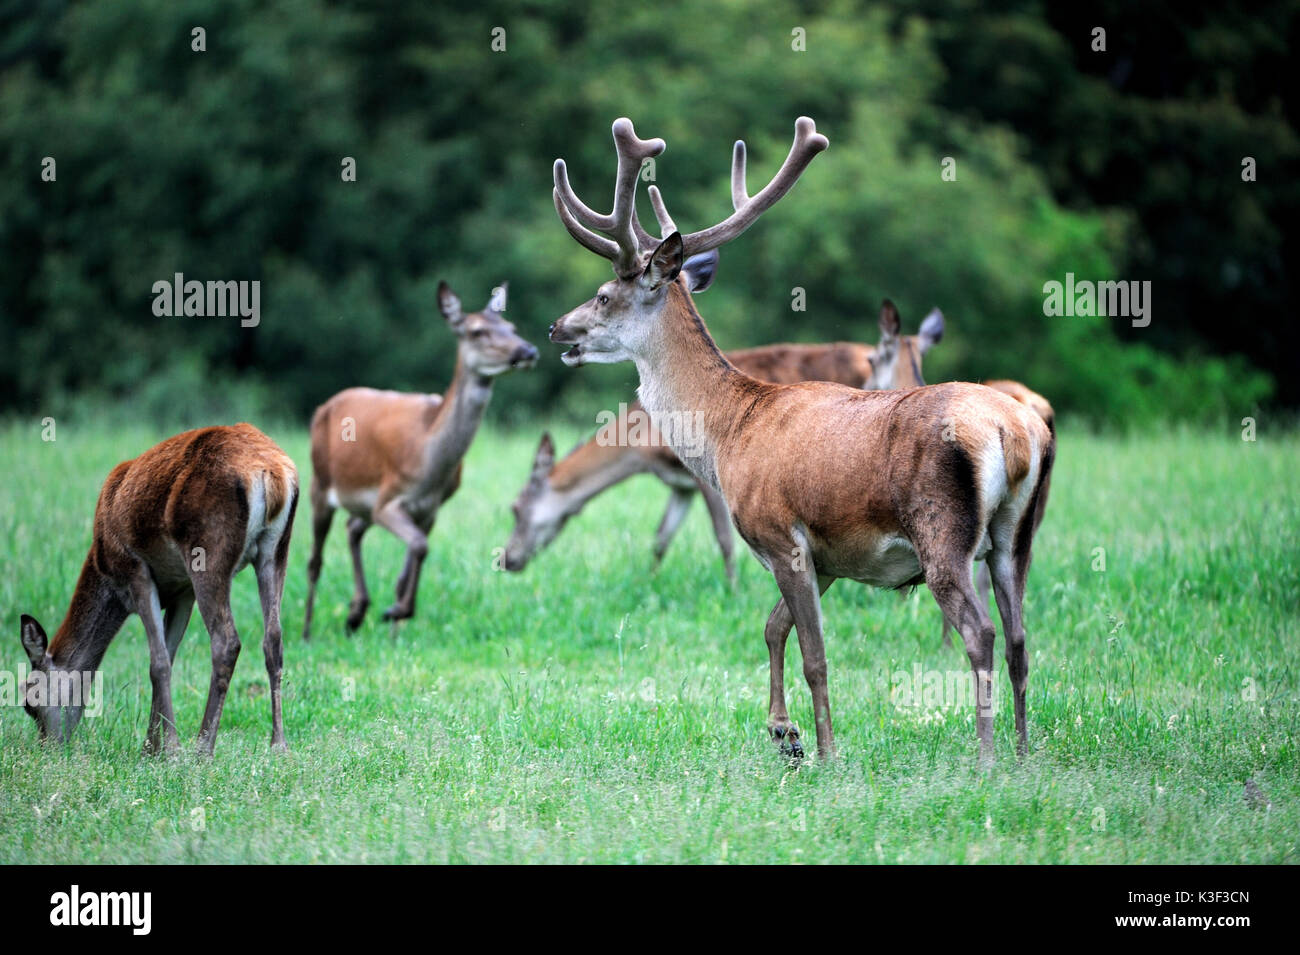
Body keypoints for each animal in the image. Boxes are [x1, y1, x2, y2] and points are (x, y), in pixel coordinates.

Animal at [17, 423, 298, 756]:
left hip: (207, 551)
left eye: (29, 702)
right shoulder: (183, 591)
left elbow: (158, 661)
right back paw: (278, 744)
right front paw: (152, 746)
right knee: (273, 638)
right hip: (275, 550)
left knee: (226, 641)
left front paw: (168, 749)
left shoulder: (134, 569)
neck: (104, 569)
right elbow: (170, 653)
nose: (47, 746)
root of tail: (275, 474)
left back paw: (203, 747)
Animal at [301, 281, 538, 638]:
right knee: (315, 560)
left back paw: (356, 613)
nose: (528, 351)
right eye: (477, 331)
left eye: (511, 327)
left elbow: (416, 553)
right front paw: (396, 612)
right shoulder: (389, 498)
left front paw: (396, 617)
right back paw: (307, 630)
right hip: (320, 481)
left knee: (353, 528)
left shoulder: (429, 508)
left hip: (363, 503)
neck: (431, 464)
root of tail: (325, 406)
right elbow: (419, 546)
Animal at [502, 301, 944, 578]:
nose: (507, 558)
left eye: (516, 508)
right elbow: (660, 538)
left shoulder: (704, 476)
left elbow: (723, 539)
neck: (643, 446)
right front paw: (651, 580)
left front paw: (732, 588)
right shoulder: (679, 484)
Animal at [547, 117, 1055, 761]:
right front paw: (782, 732)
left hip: (943, 529)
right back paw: (1022, 752)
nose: (557, 328)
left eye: (605, 296)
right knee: (1019, 638)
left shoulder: (778, 532)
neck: (728, 432)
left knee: (981, 630)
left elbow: (815, 655)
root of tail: (1016, 431)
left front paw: (824, 751)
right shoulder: (830, 552)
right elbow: (772, 626)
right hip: (1016, 535)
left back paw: (986, 757)